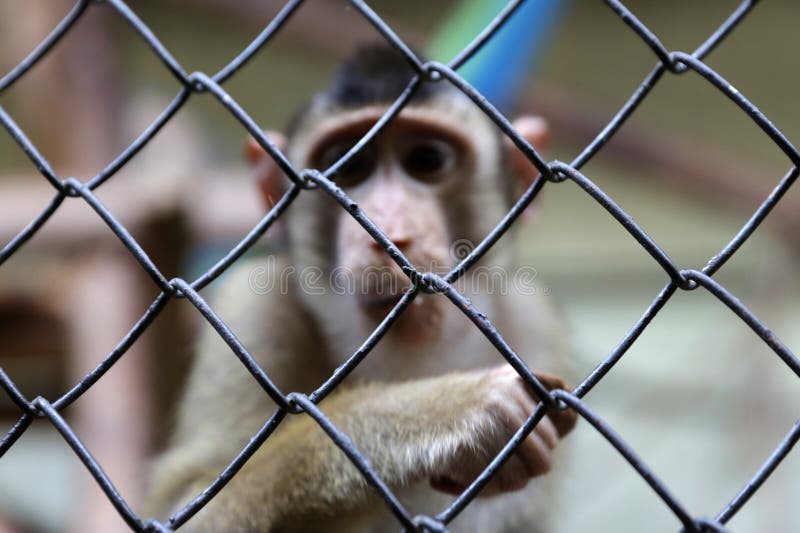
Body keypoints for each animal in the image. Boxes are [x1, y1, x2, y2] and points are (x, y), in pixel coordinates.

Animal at [147, 45, 576, 532]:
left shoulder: (536, 327)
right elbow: (189, 505)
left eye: (428, 160)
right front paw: (437, 412)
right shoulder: (256, 311)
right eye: (349, 166)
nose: (388, 229)